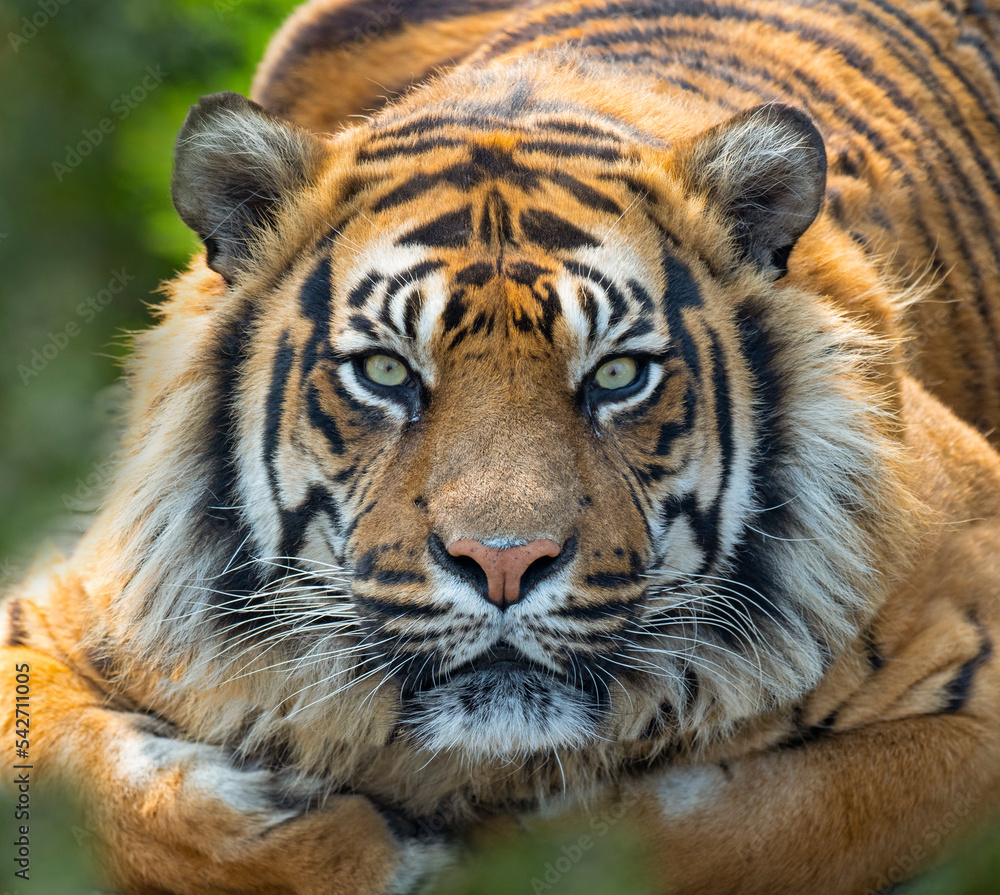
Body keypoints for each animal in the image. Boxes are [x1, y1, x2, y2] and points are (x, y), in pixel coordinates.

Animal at [5, 0, 1000, 892]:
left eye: (617, 375)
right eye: (385, 370)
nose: (504, 562)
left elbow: (744, 826)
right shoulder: (67, 608)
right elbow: (97, 783)